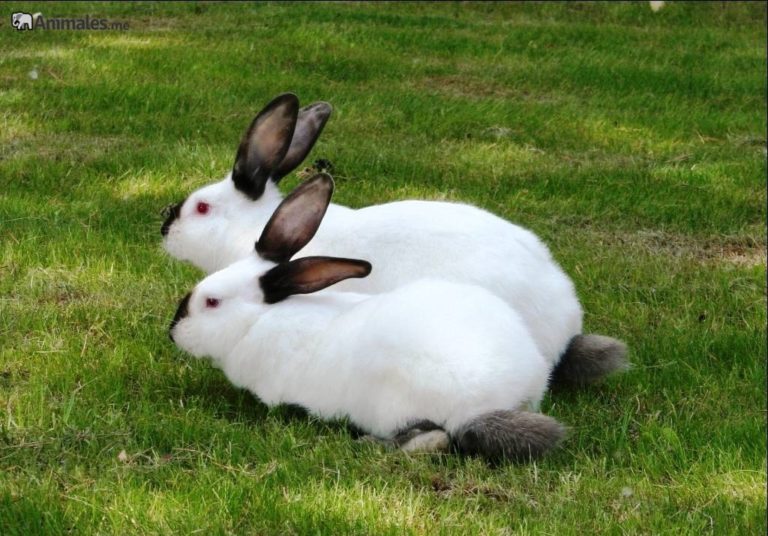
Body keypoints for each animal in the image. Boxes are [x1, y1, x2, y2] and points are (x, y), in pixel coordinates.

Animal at [169, 173, 565, 462]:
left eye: (212, 302)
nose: (173, 331)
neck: (258, 319)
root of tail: (514, 390)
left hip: (400, 408)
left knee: (433, 438)